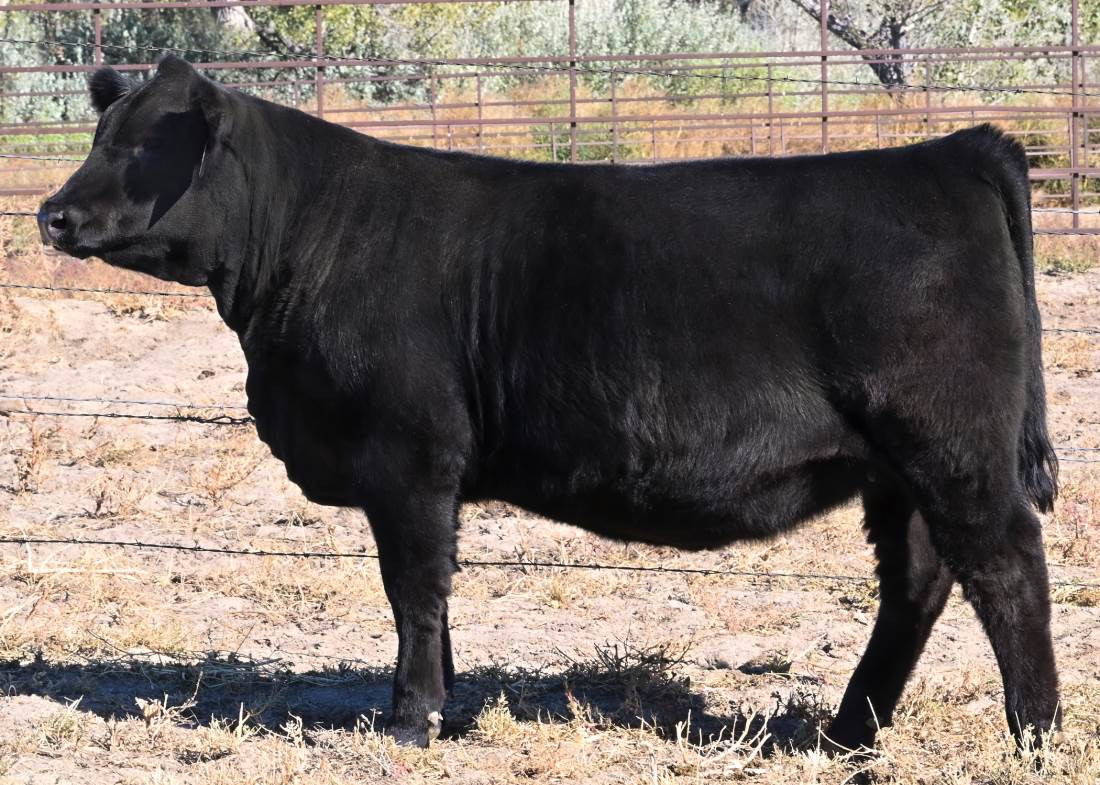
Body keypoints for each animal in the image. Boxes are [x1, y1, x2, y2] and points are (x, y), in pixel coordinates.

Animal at [38, 55, 1061, 752]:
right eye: (99, 136)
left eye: (143, 144)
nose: (53, 213)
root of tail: (953, 150)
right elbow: (435, 593)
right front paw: (444, 705)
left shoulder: (409, 455)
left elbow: (413, 588)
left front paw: (408, 716)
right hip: (899, 467)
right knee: (919, 580)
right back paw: (851, 729)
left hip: (951, 447)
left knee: (1006, 565)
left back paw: (1037, 730)